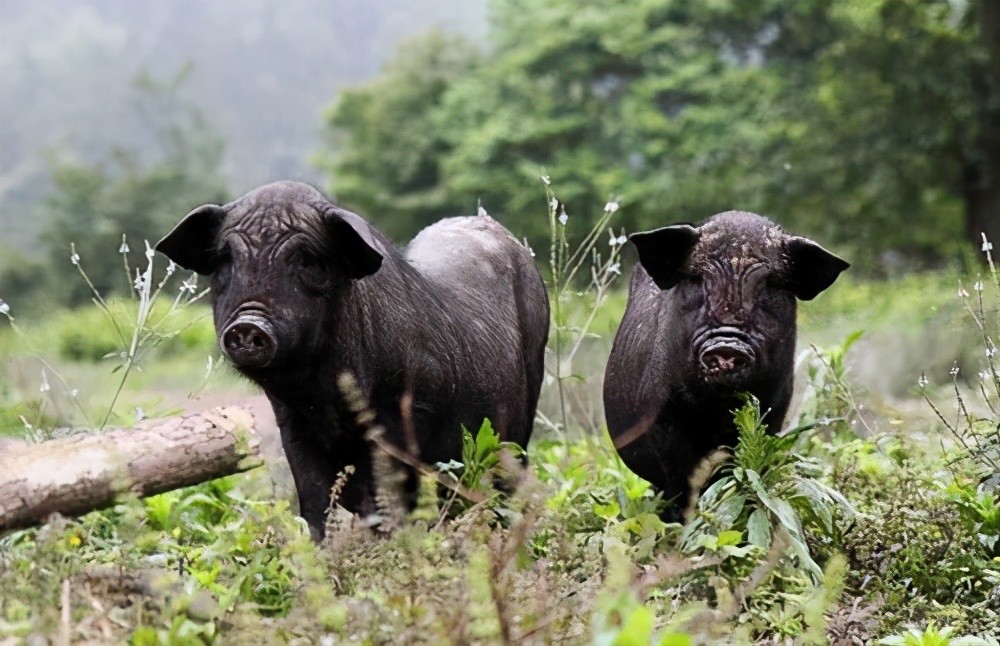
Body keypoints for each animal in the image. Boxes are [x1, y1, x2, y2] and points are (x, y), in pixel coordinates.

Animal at [157, 180, 552, 540]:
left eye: (307, 259)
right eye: (226, 260)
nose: (248, 323)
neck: (323, 396)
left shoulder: (404, 414)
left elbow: (382, 499)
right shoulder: (293, 425)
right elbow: (314, 501)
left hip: (522, 419)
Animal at [596, 210, 848, 524]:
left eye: (769, 285)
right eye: (700, 280)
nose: (726, 346)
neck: (716, 410)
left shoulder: (773, 413)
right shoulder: (661, 418)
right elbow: (680, 478)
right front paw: (682, 523)